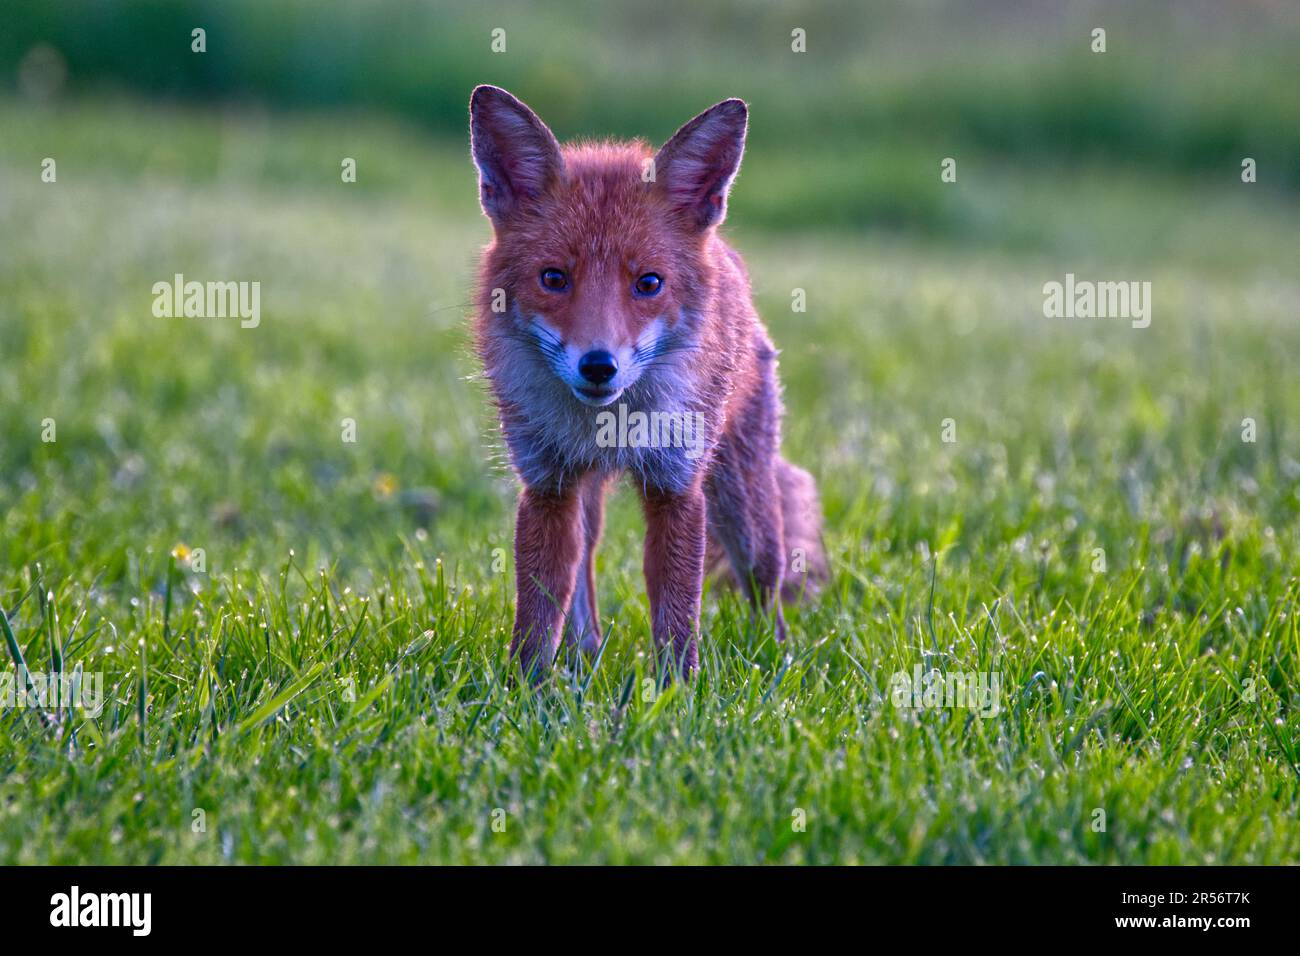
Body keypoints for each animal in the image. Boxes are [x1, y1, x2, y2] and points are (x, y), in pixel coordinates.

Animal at [469, 85, 827, 679]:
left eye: (649, 283)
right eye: (553, 278)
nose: (598, 365)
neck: (608, 426)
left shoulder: (675, 486)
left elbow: (676, 614)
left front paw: (678, 691)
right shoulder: (548, 484)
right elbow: (539, 612)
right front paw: (526, 689)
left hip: (742, 508)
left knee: (766, 583)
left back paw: (774, 657)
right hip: (587, 499)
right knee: (584, 564)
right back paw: (585, 652)